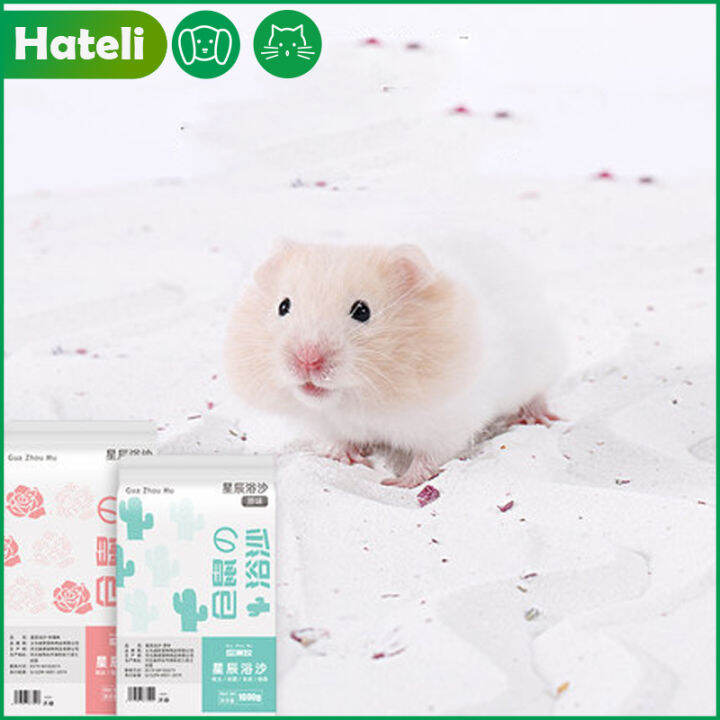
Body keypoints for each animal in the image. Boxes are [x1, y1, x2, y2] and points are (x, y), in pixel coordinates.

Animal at [224, 241, 563, 488]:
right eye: (283, 306)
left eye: (362, 311)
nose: (307, 359)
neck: (358, 401)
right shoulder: (320, 423)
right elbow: (333, 442)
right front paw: (353, 460)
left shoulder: (449, 422)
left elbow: (428, 457)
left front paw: (396, 482)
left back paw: (539, 417)